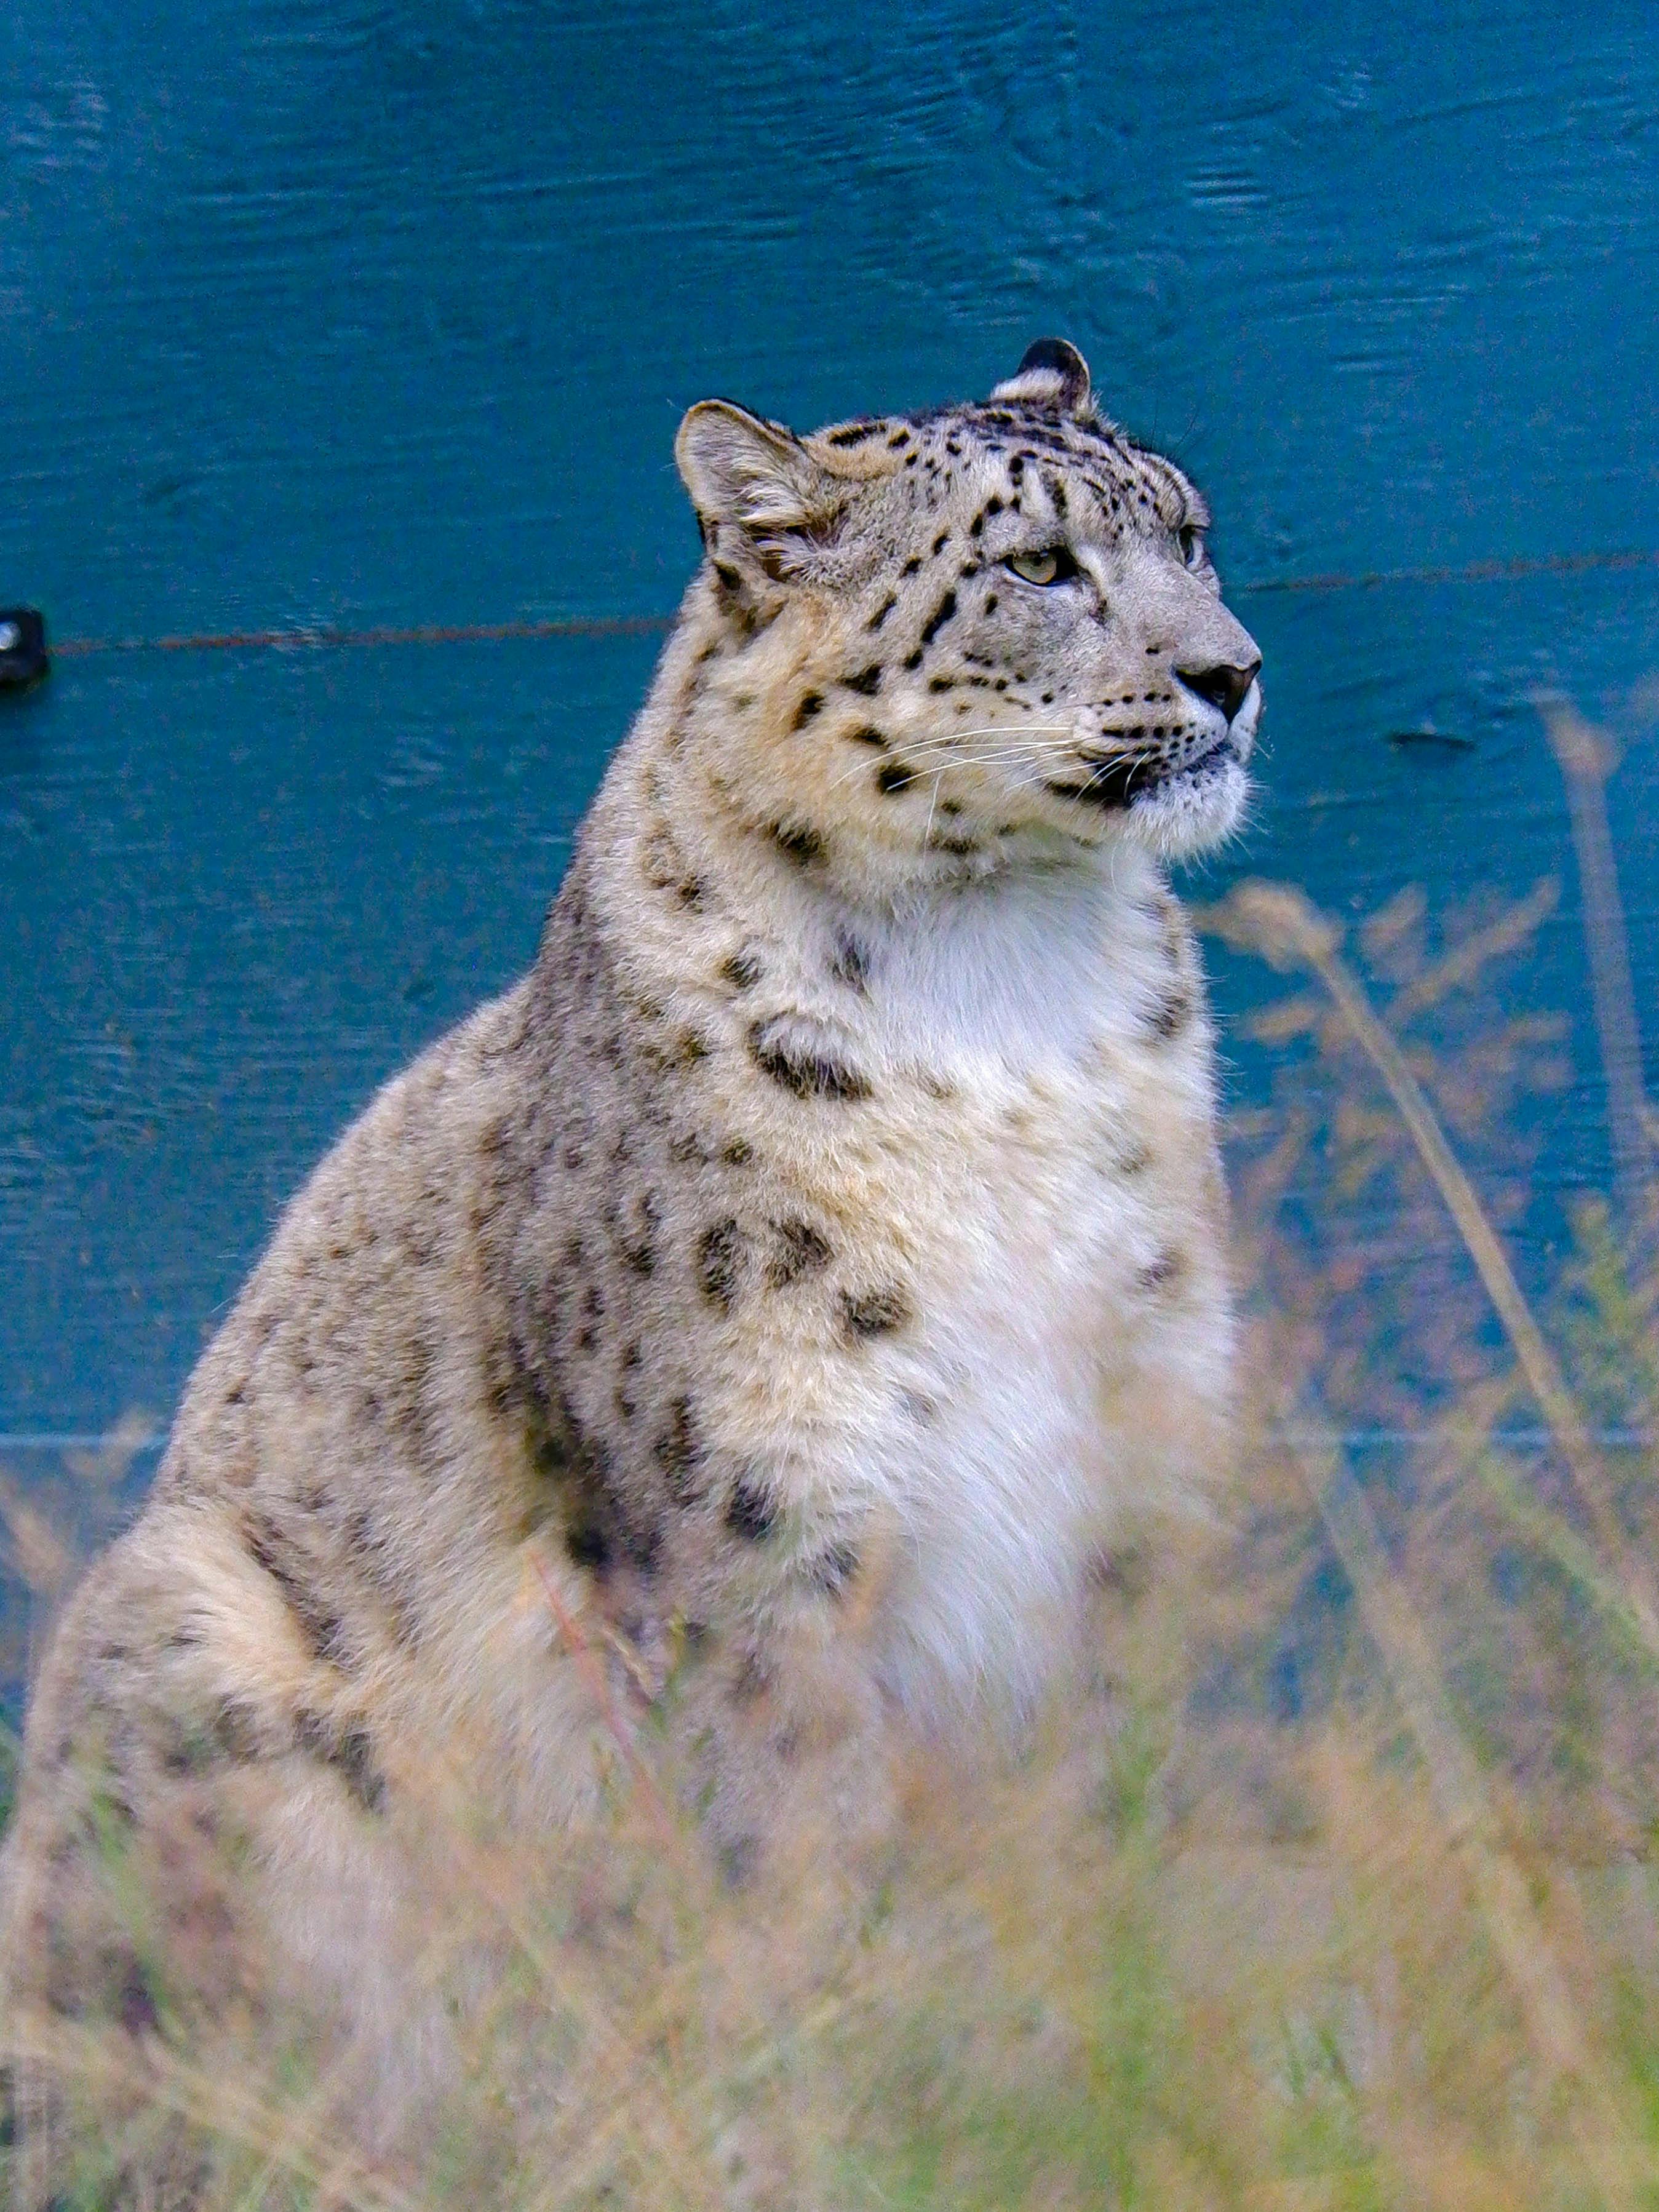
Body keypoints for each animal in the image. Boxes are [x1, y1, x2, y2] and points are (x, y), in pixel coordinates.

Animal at [0, 339, 1261, 2200]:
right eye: (1041, 567)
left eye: (1192, 532)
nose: (1233, 669)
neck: (1011, 988)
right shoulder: (752, 1522)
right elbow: (790, 1844)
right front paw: (840, 2112)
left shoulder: (1142, 1475)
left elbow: (1112, 1814)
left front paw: (1123, 2068)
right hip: (192, 1636)